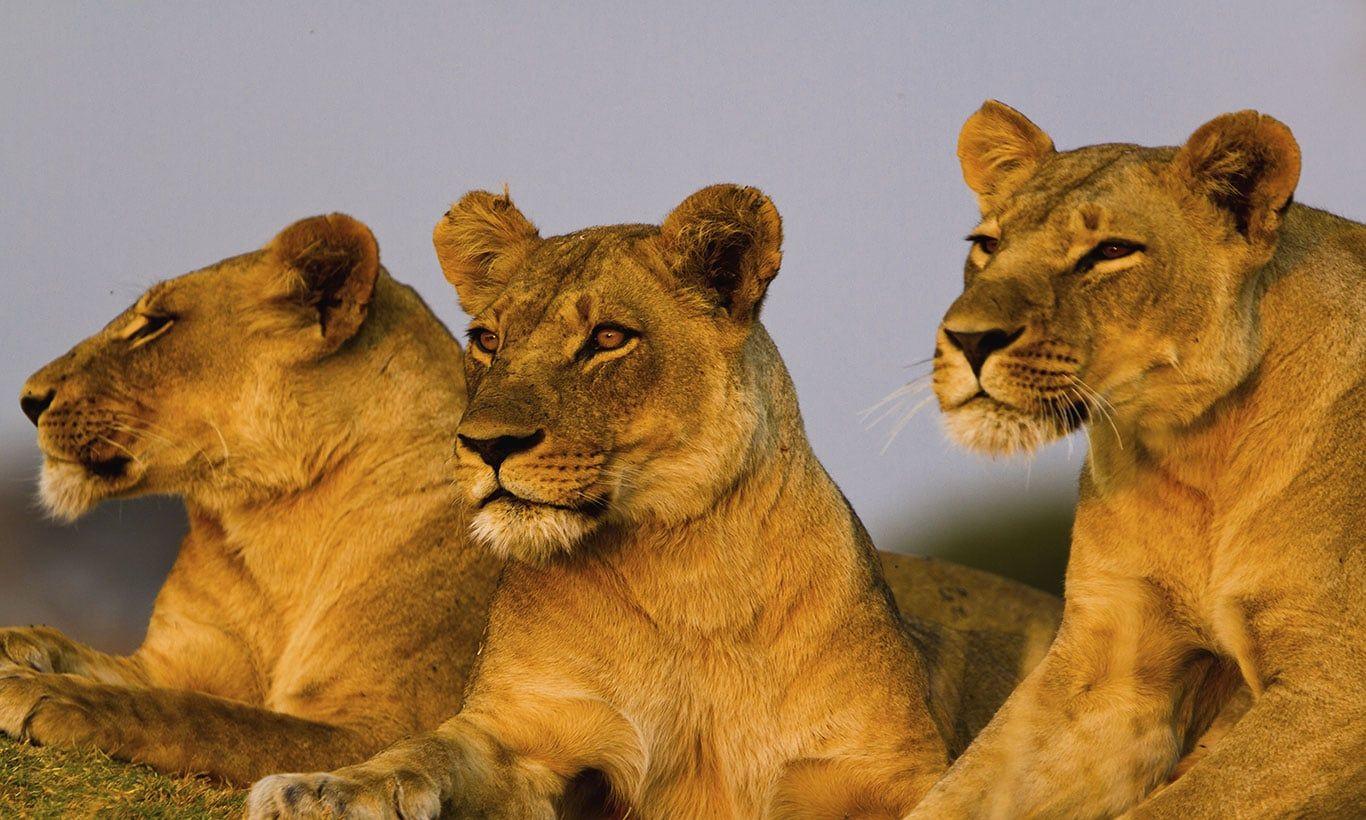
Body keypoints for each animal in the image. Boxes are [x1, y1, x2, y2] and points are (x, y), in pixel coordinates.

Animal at [1, 214, 503, 784]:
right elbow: (101, 663)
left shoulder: (382, 730)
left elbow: (192, 715)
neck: (269, 525)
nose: (28, 400)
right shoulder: (168, 662)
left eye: (155, 324)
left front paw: (37, 690)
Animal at [246, 185, 1065, 819]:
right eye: (486, 339)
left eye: (608, 338)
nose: (484, 445)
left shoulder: (884, 766)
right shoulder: (526, 728)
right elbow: (420, 752)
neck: (683, 570)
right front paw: (317, 789)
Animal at [908, 102, 1366, 818]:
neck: (1196, 455)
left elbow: (1192, 804)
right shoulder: (1110, 665)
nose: (969, 339)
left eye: (1111, 251)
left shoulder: (1338, 686)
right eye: (986, 245)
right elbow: (967, 787)